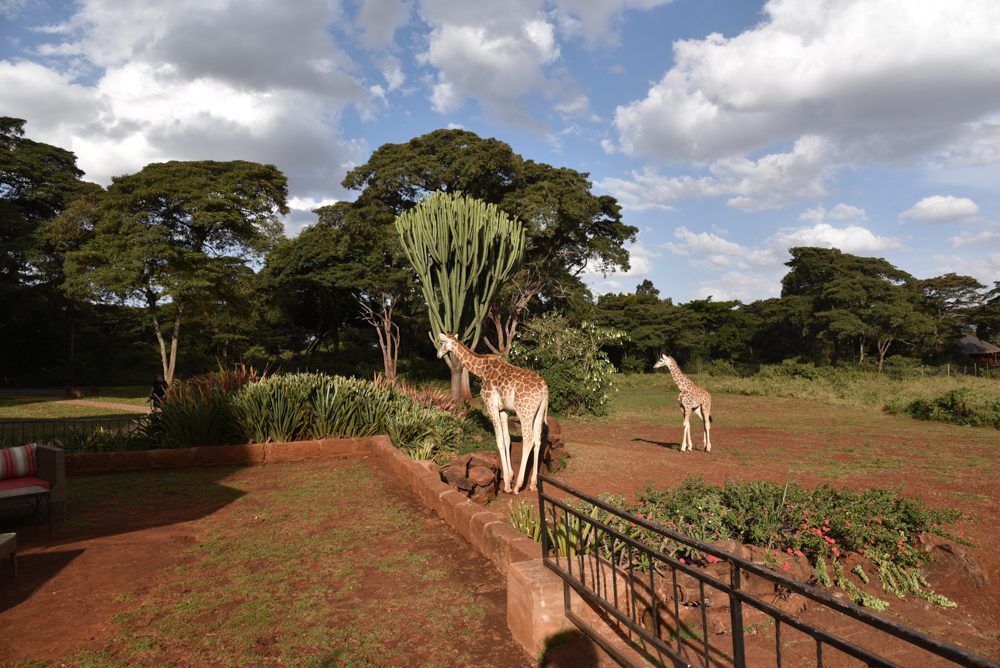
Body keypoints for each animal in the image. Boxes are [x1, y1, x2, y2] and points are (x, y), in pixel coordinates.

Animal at [437, 332, 549, 493]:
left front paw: (508, 484)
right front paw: (510, 476)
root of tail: (545, 389)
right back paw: (533, 484)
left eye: (442, 342)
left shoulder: (491, 405)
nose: (438, 354)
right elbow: (507, 439)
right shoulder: (503, 409)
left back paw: (518, 486)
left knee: (528, 441)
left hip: (524, 411)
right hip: (539, 412)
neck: (481, 369)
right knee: (538, 440)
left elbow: (499, 441)